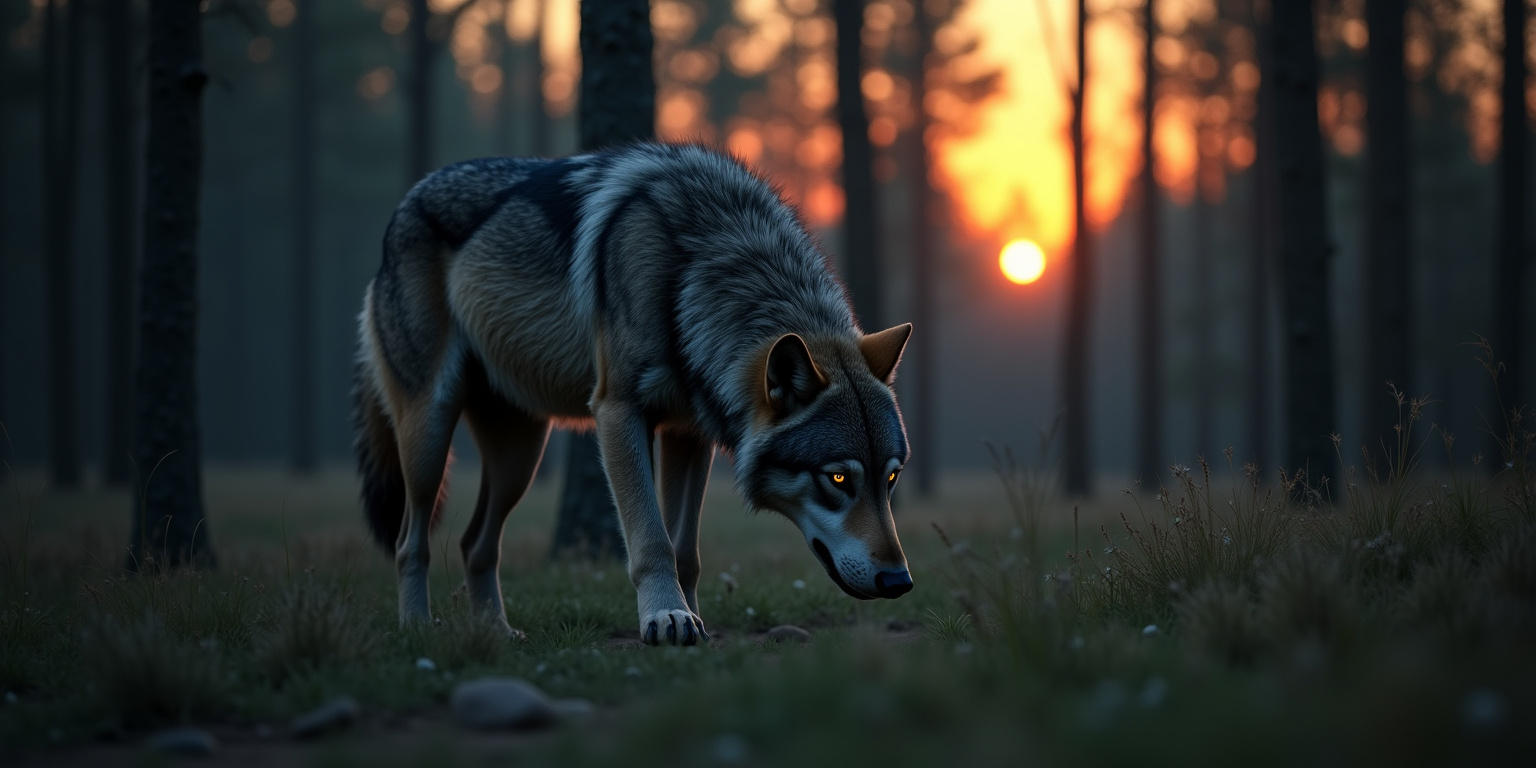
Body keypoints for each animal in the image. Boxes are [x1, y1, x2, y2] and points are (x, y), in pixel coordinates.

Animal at [352, 142, 914, 646]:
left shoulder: (689, 433)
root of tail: (406, 202)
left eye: (891, 478)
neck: (698, 264)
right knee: (409, 541)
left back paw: (496, 632)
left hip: (520, 458)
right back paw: (416, 626)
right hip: (431, 435)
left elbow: (685, 550)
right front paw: (667, 617)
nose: (899, 581)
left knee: (475, 543)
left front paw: (693, 619)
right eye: (837, 478)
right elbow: (652, 540)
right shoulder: (618, 414)